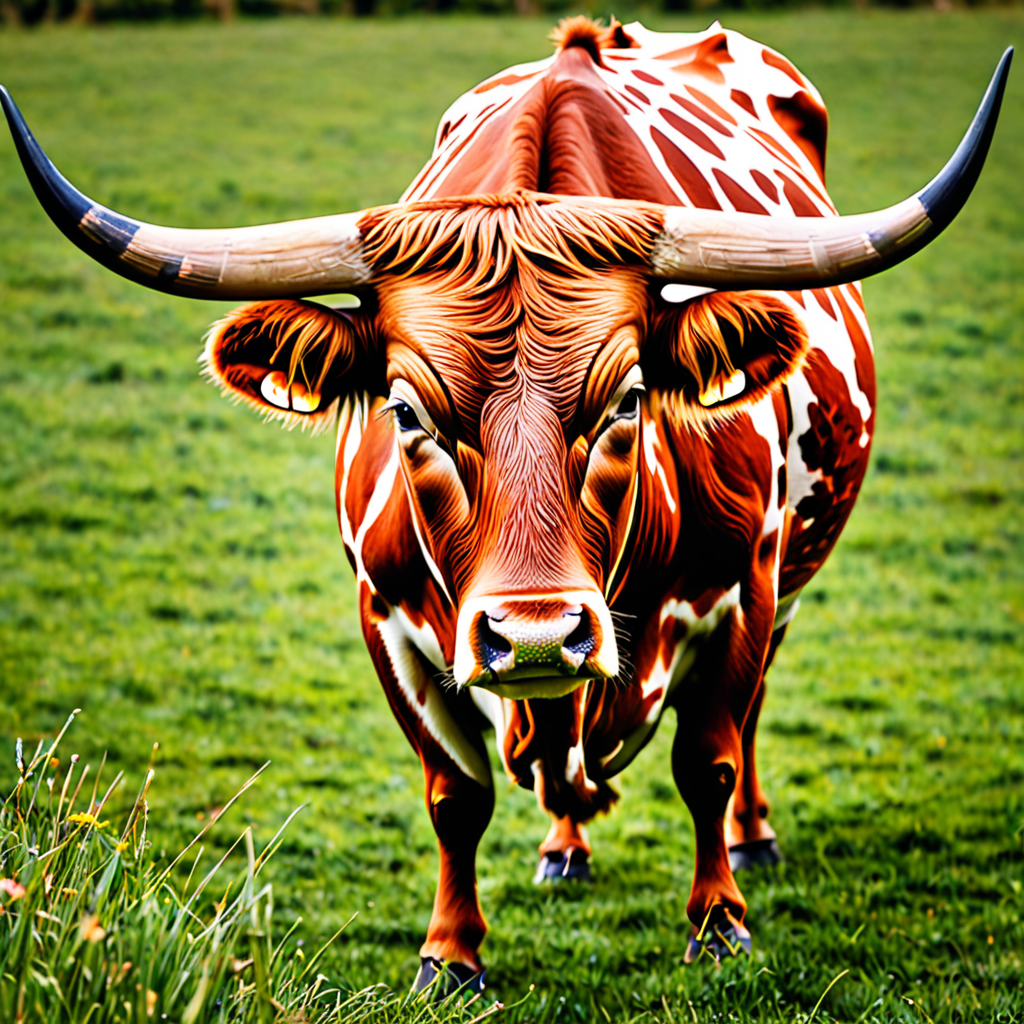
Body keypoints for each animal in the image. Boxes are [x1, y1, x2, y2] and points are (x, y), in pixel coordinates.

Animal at [1, 17, 1011, 992]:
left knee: (750, 716)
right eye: (405, 410)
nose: (533, 636)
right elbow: (457, 795)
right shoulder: (388, 621)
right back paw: (565, 843)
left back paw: (751, 837)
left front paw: (719, 921)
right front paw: (451, 953)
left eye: (629, 401)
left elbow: (707, 761)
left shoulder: (745, 589)